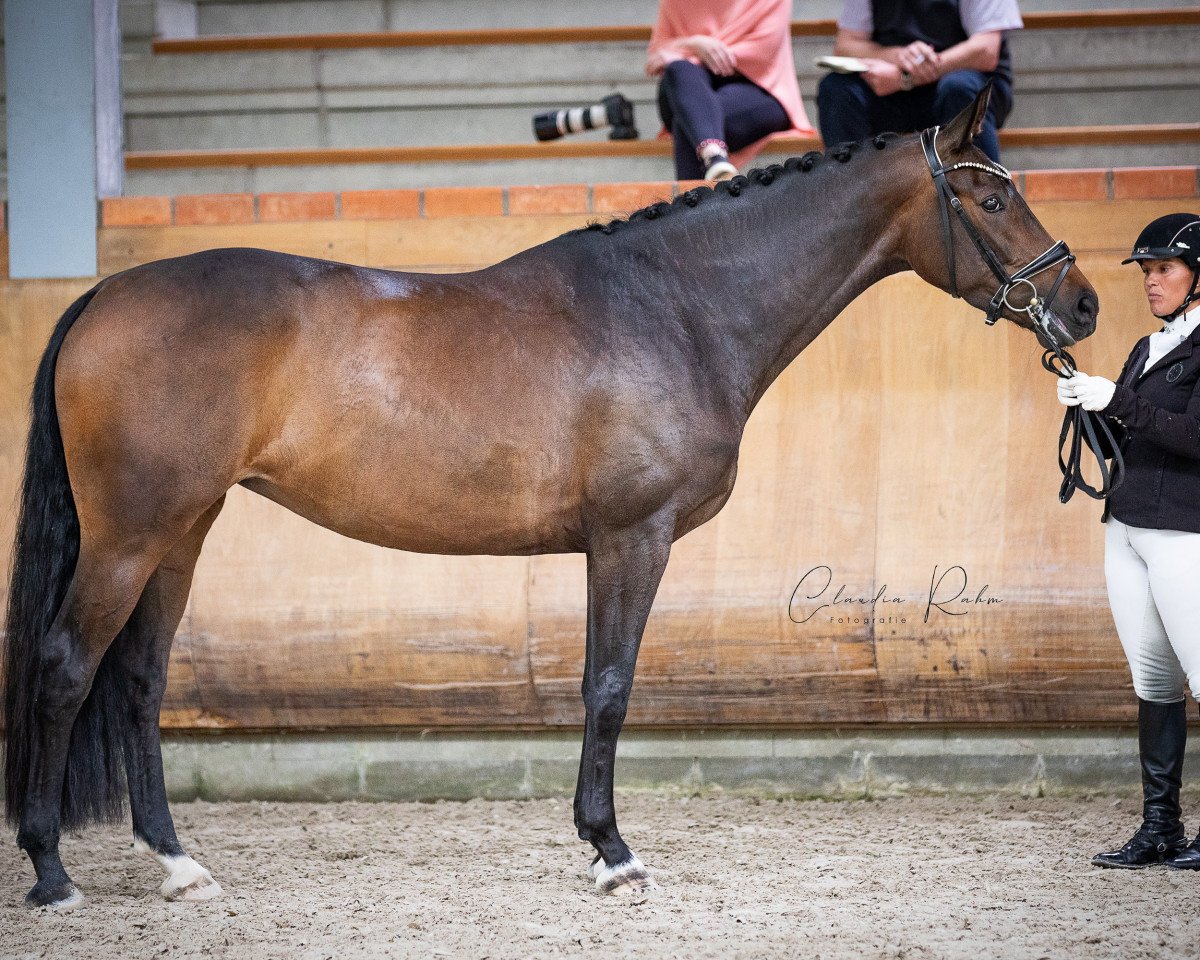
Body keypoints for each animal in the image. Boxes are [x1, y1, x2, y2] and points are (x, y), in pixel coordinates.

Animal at [3, 87, 1097, 908]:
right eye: (990, 202)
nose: (1082, 304)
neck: (675, 308)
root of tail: (104, 295)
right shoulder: (631, 538)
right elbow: (608, 687)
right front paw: (613, 853)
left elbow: (599, 685)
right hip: (129, 536)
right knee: (63, 668)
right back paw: (52, 871)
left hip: (181, 531)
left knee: (139, 683)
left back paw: (178, 865)